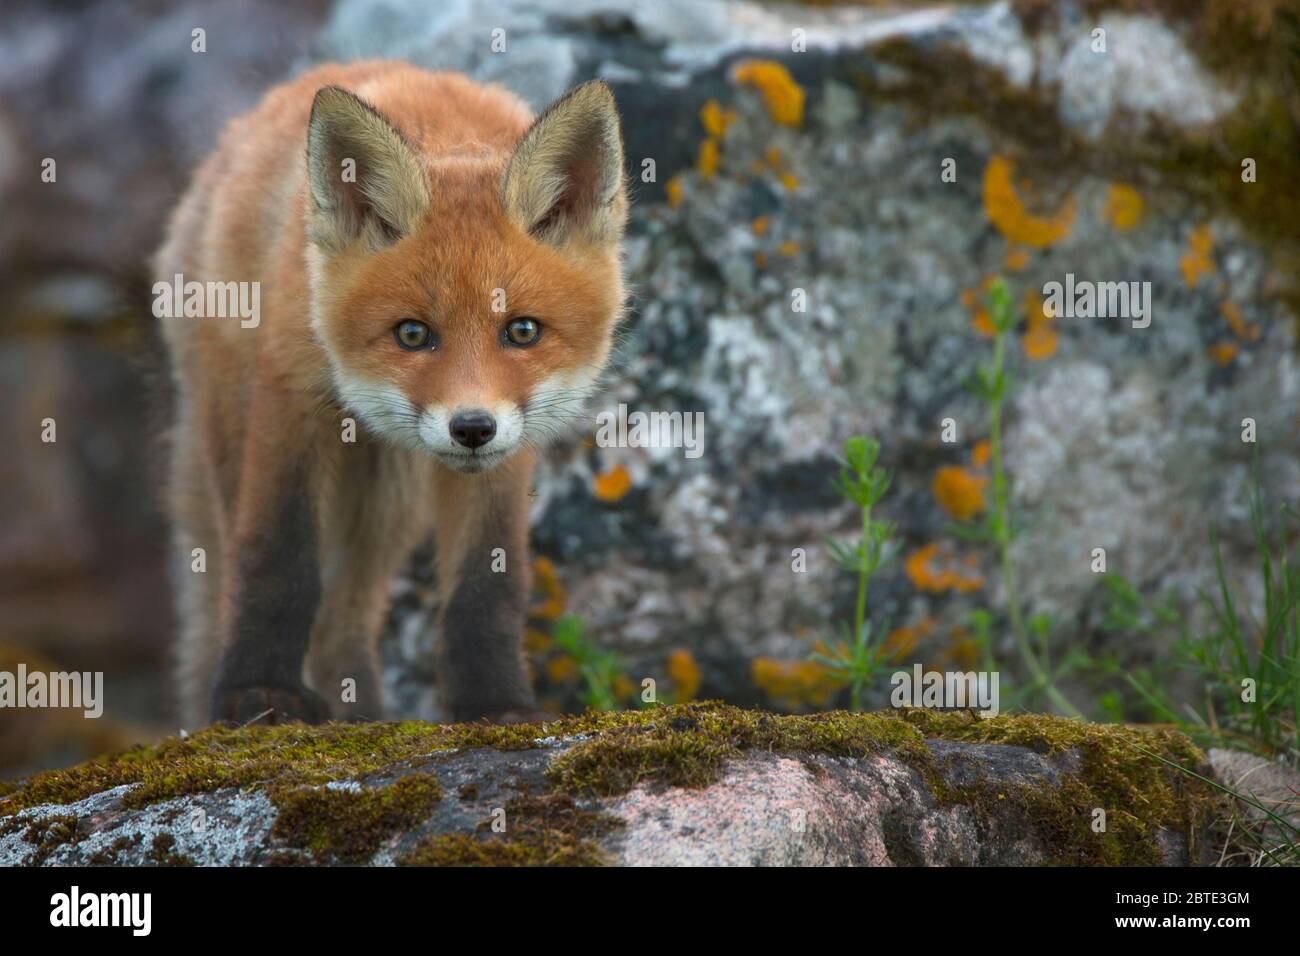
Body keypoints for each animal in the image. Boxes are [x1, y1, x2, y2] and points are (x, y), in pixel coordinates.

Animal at [153, 61, 628, 726]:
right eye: (412, 334)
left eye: (523, 331)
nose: (472, 428)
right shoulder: (289, 395)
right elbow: (278, 557)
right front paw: (260, 693)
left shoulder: (511, 448)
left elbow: (489, 585)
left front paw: (497, 706)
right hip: (233, 428)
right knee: (244, 570)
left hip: (386, 497)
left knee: (347, 616)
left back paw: (362, 714)